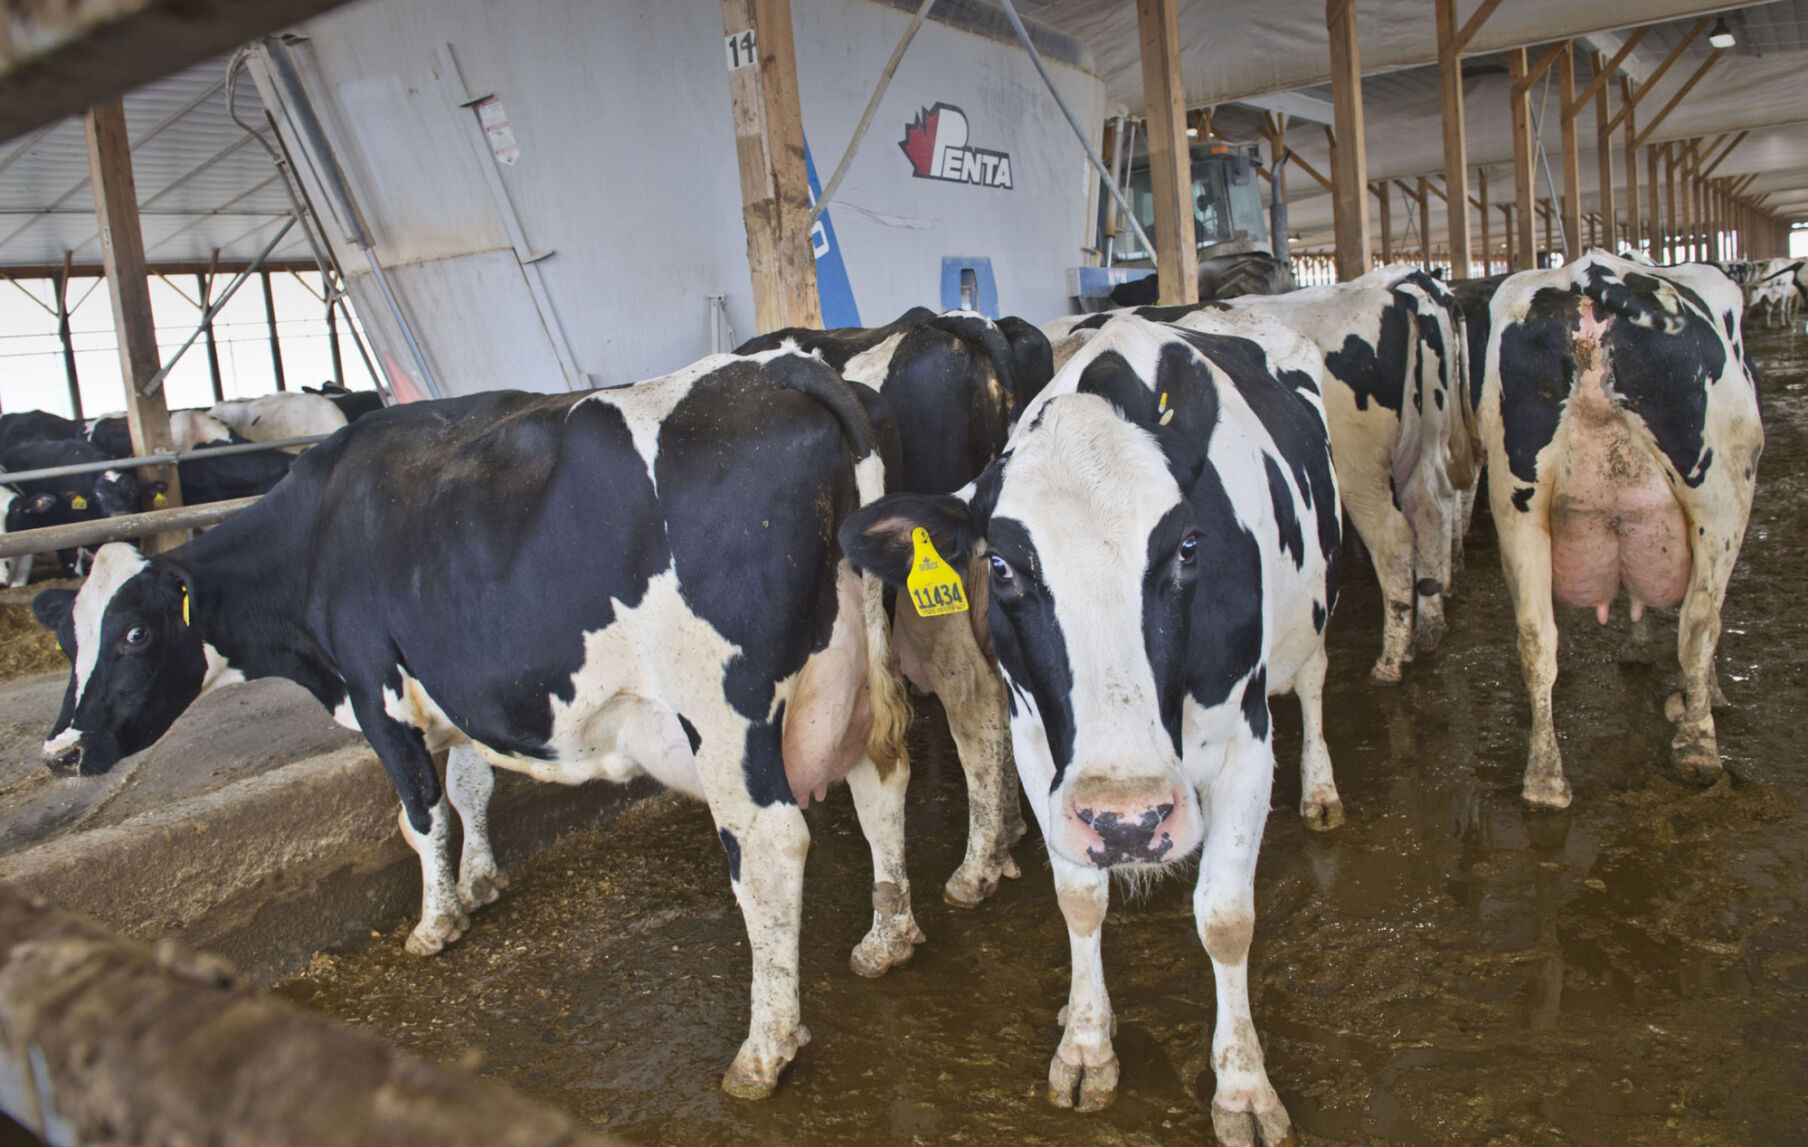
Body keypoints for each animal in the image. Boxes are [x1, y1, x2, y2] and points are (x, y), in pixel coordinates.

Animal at [841, 313, 1338, 1141]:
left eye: (1187, 547)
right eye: (1002, 567)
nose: (1129, 820)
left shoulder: (1247, 739)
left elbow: (1226, 918)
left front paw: (1243, 1089)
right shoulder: (1037, 746)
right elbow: (1078, 898)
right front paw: (1084, 1044)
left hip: (1318, 604)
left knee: (1317, 679)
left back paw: (1323, 788)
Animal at [1481, 252, 1763, 807]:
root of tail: (1591, 275)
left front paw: (1637, 645)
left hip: (1518, 504)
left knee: (1536, 639)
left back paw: (1545, 780)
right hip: (1720, 495)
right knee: (1699, 624)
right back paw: (1698, 749)